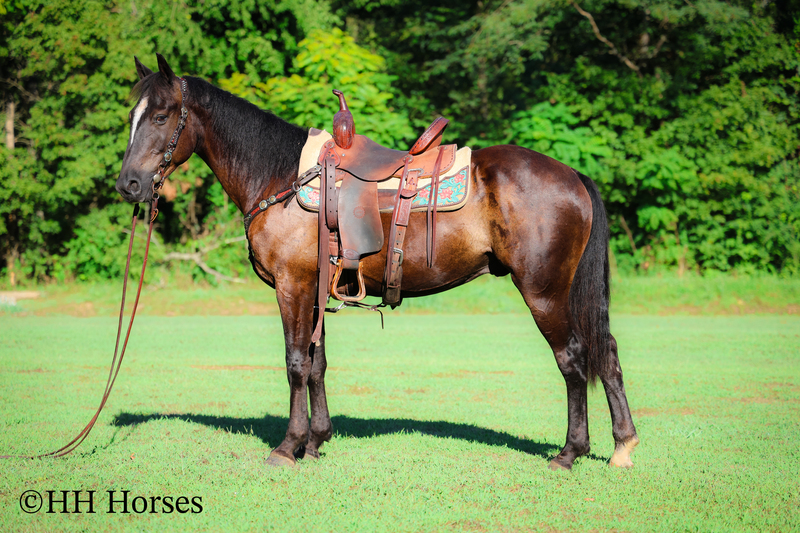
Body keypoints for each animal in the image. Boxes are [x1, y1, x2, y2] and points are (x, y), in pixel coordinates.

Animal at [116, 54, 639, 471]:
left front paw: (287, 447)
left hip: (544, 292)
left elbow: (295, 363)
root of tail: (572, 175)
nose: (129, 185)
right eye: (132, 116)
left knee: (573, 358)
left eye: (160, 116)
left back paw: (570, 453)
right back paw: (622, 446)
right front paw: (315, 442)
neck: (280, 176)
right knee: (608, 352)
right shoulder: (316, 291)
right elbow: (317, 363)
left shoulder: (292, 286)